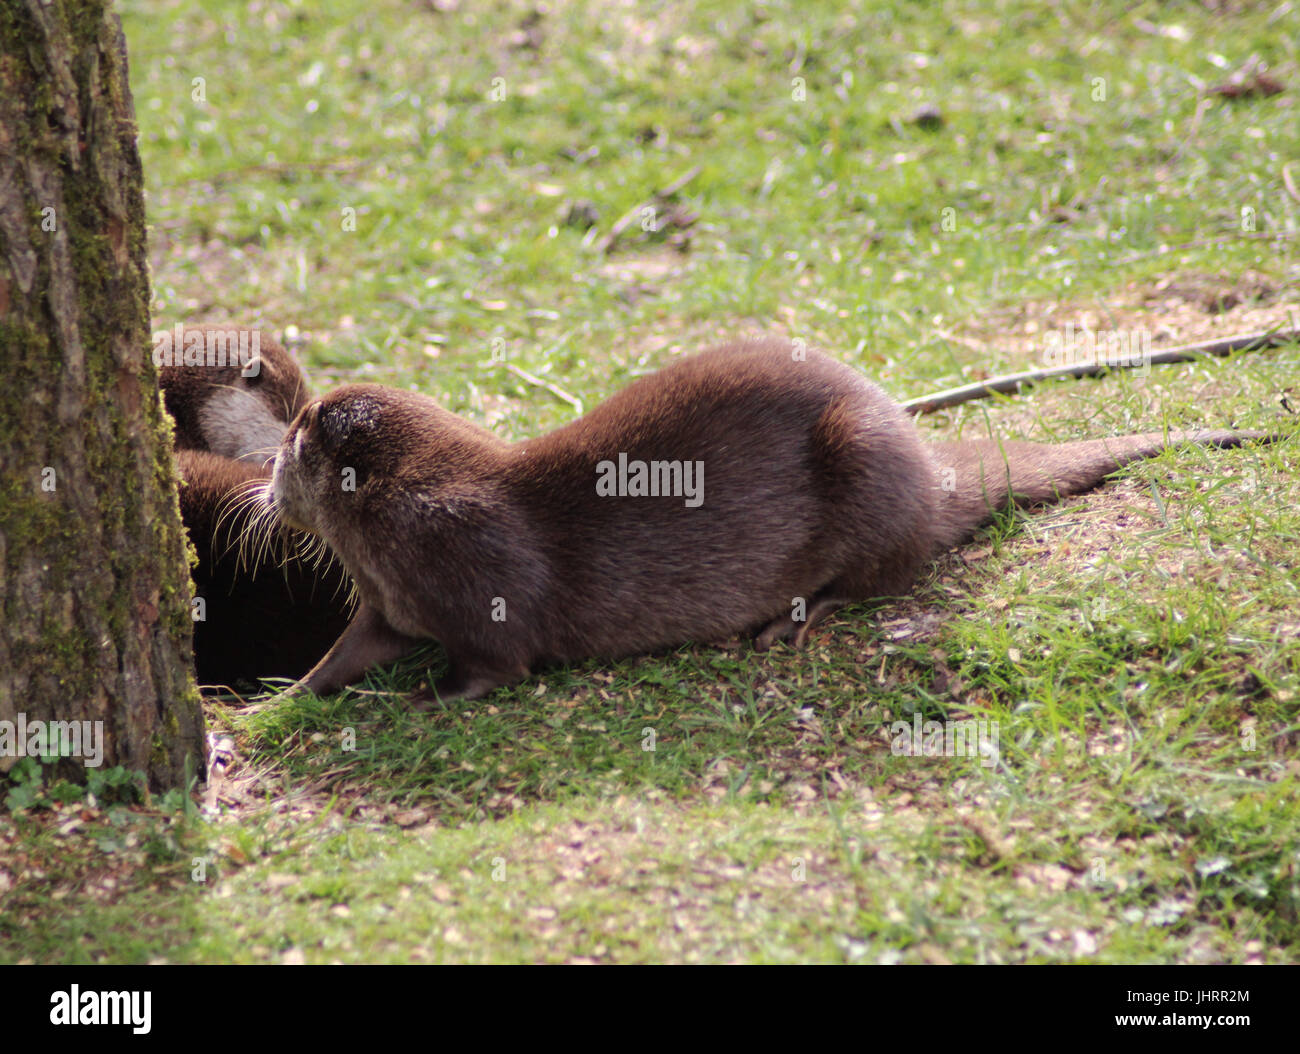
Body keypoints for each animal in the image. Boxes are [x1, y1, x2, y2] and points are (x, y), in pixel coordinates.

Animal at [265, 338, 1269, 702]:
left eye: (289, 446)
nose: (266, 478)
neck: (402, 518)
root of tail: (927, 459)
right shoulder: (389, 602)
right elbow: (344, 655)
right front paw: (273, 703)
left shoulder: (473, 575)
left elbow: (488, 669)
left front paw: (422, 700)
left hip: (863, 461)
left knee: (897, 570)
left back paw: (797, 620)